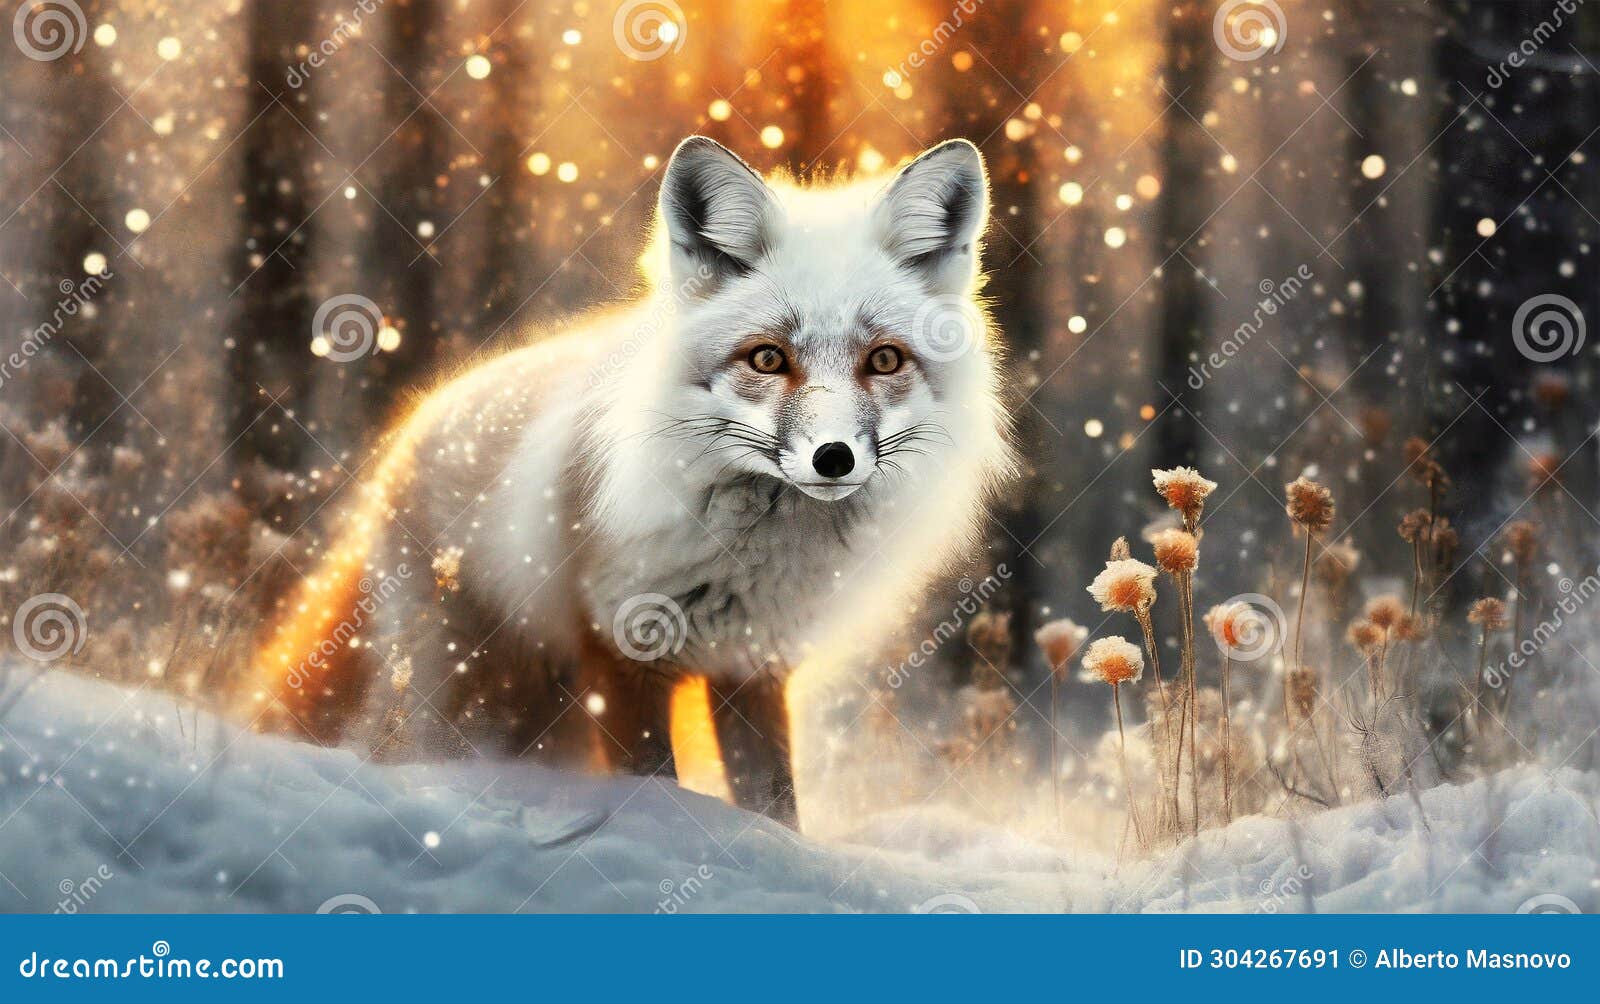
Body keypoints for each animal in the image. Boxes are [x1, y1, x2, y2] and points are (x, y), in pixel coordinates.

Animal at [247, 135, 1013, 828]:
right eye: (768, 358)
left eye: (884, 360)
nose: (834, 458)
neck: (751, 558)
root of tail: (413, 426)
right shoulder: (622, 648)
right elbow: (652, 783)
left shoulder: (754, 665)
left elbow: (777, 806)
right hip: (454, 680)